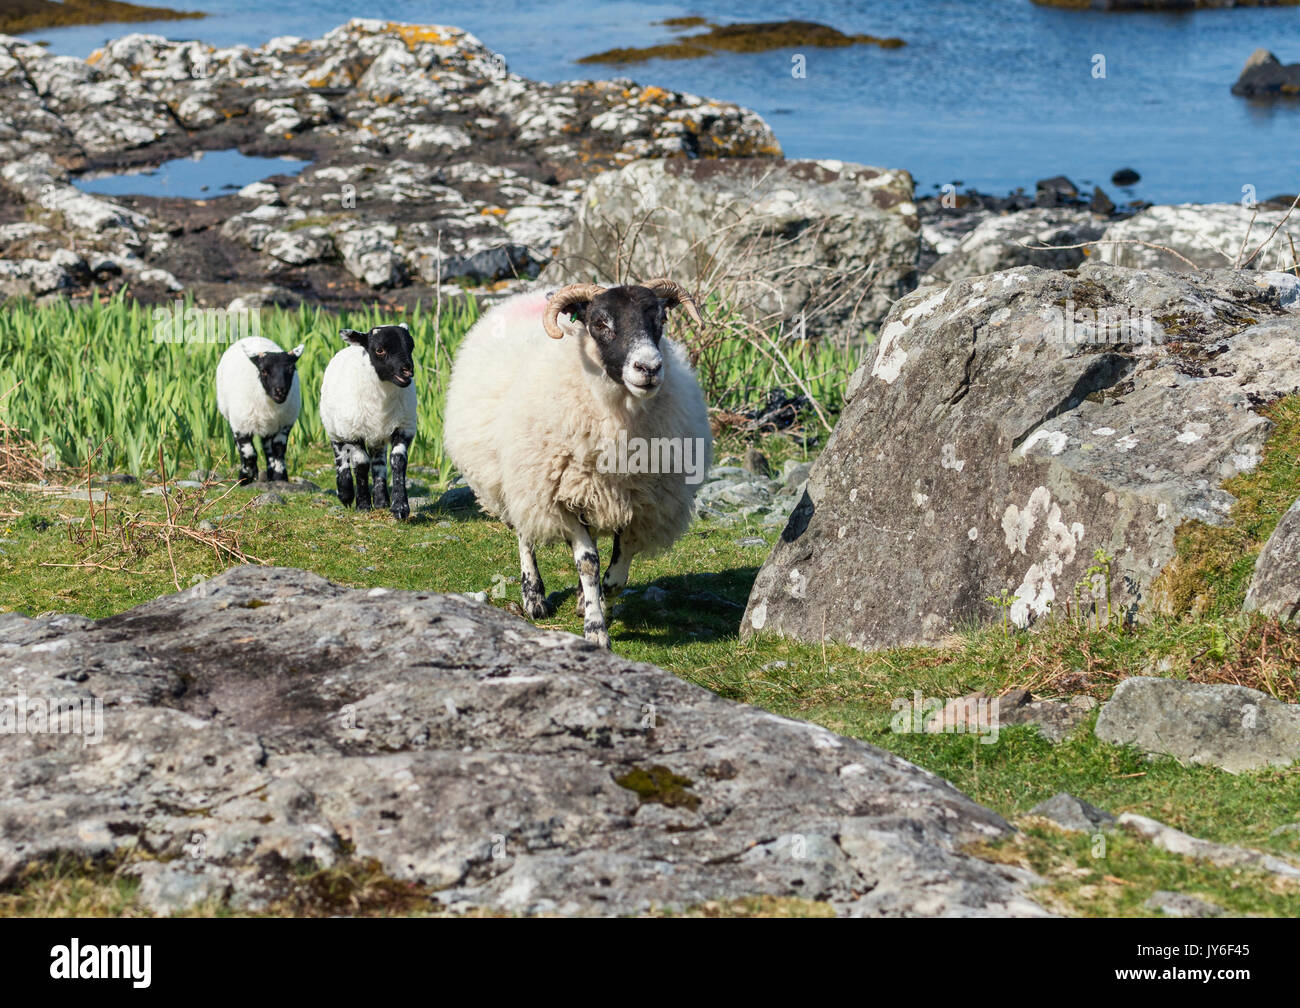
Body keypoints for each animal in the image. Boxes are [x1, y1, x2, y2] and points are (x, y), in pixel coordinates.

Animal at [215, 336, 305, 484]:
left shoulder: (284, 425)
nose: (280, 391)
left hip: (270, 428)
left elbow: (278, 451)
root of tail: (253, 337)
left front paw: (280, 478)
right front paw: (245, 479)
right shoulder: (240, 426)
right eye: (263, 371)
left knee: (269, 450)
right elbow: (249, 454)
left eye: (291, 369)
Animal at [319, 324, 418, 519]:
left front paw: (399, 507)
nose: (407, 370)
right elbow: (361, 463)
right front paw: (363, 504)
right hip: (334, 426)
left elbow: (398, 461)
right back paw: (345, 493)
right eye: (379, 350)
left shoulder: (404, 427)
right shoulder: (352, 431)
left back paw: (381, 501)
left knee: (378, 462)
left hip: (377, 435)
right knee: (340, 455)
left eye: (411, 346)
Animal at [443, 279, 712, 648]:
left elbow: (617, 572)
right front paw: (596, 630)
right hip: (517, 481)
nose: (649, 368)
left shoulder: (641, 504)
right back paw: (534, 597)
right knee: (525, 535)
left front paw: (595, 601)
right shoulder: (561, 500)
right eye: (599, 322)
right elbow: (587, 563)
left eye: (661, 318)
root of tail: (526, 296)